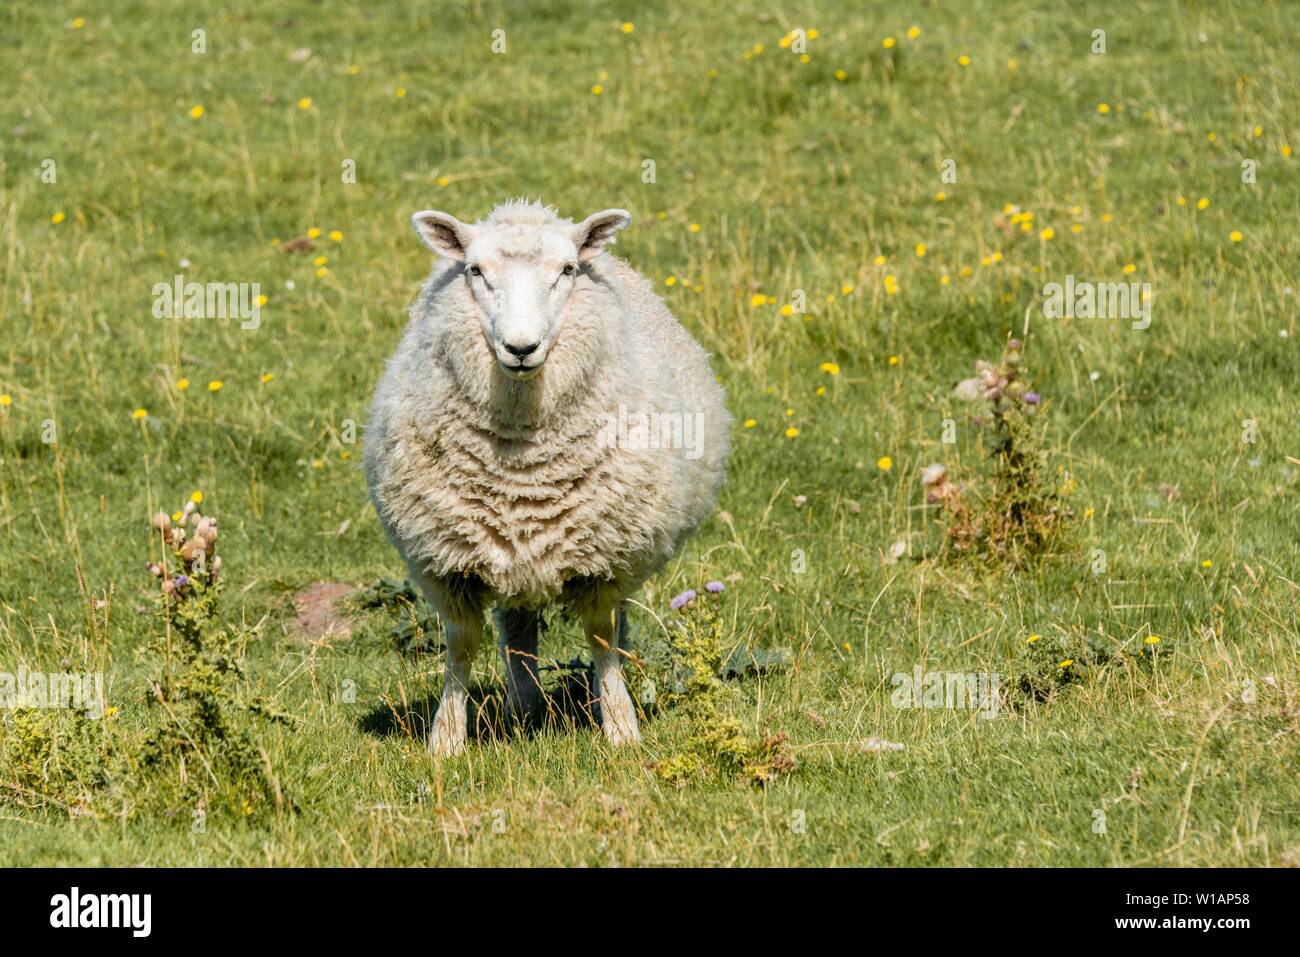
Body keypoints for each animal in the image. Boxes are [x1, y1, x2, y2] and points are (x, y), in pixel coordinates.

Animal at [364, 198, 730, 756]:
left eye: (567, 271)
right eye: (475, 270)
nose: (521, 348)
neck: (521, 459)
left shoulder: (603, 558)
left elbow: (600, 634)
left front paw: (620, 727)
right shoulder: (448, 563)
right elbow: (461, 644)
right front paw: (446, 740)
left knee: (606, 623)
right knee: (516, 627)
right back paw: (523, 706)